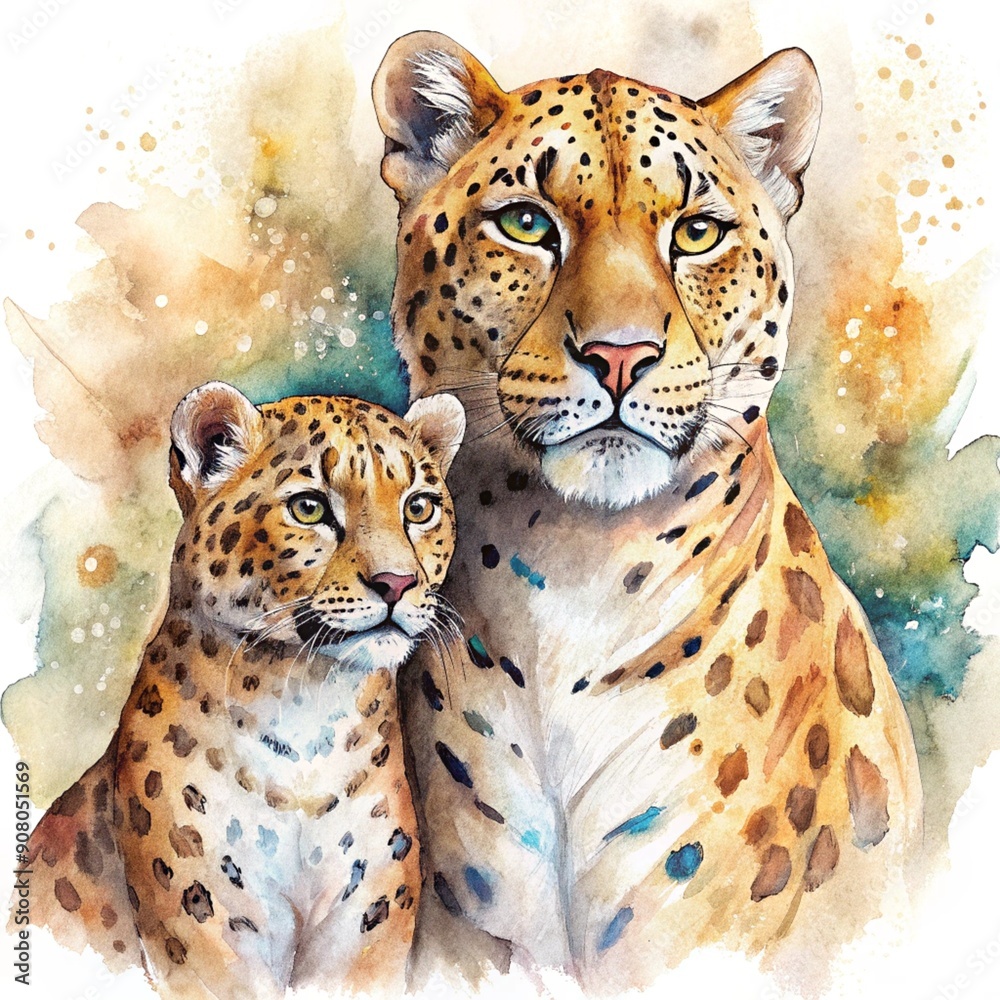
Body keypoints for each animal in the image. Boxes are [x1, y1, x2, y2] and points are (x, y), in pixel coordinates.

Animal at [14, 380, 465, 997]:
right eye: (309, 507)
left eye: (419, 508)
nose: (397, 583)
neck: (309, 709)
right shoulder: (204, 927)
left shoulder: (367, 920)